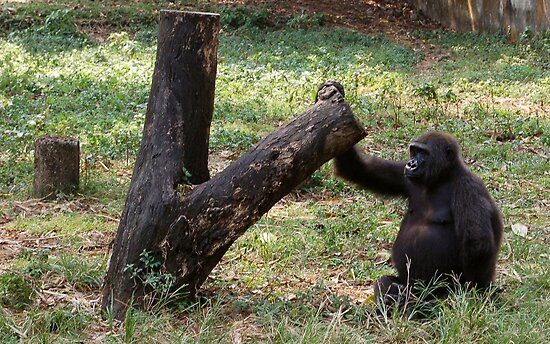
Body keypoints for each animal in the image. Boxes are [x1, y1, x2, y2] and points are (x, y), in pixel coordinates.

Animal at [334, 131, 506, 310]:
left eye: (424, 153)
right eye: (414, 151)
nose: (411, 164)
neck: (443, 177)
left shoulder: (468, 187)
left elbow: (478, 243)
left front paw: (472, 289)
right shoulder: (403, 175)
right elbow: (359, 169)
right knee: (387, 283)